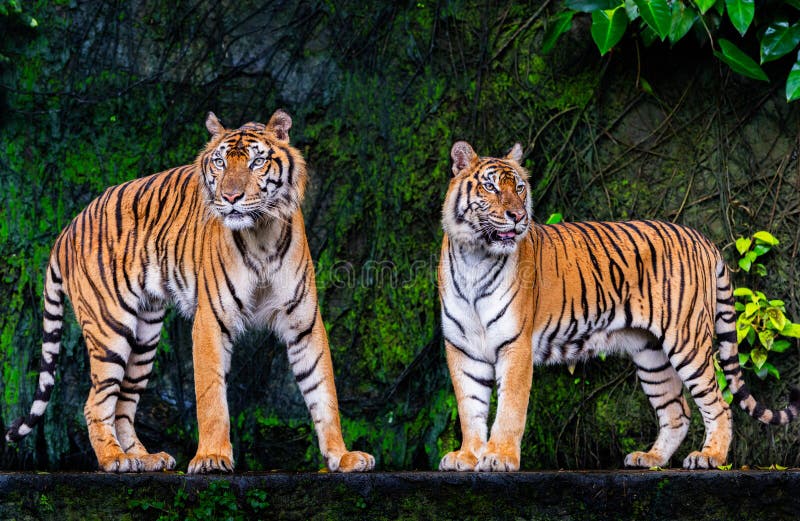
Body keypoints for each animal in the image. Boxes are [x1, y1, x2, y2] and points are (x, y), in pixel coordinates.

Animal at [5, 110, 375, 474]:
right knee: (95, 401)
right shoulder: (212, 320)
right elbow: (211, 394)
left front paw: (342, 456)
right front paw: (212, 457)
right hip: (110, 327)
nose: (230, 198)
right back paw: (114, 459)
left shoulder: (304, 324)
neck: (262, 234)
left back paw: (144, 459)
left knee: (123, 403)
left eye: (256, 162)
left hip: (145, 336)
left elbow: (323, 390)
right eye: (220, 163)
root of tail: (68, 227)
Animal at [437, 140, 799, 471]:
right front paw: (468, 456)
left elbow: (509, 408)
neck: (475, 258)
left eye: (520, 187)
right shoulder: (462, 348)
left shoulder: (515, 345)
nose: (518, 216)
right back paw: (651, 458)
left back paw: (710, 457)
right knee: (677, 411)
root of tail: (703, 239)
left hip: (687, 341)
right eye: (490, 186)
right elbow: (469, 407)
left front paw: (499, 457)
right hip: (650, 353)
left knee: (718, 403)